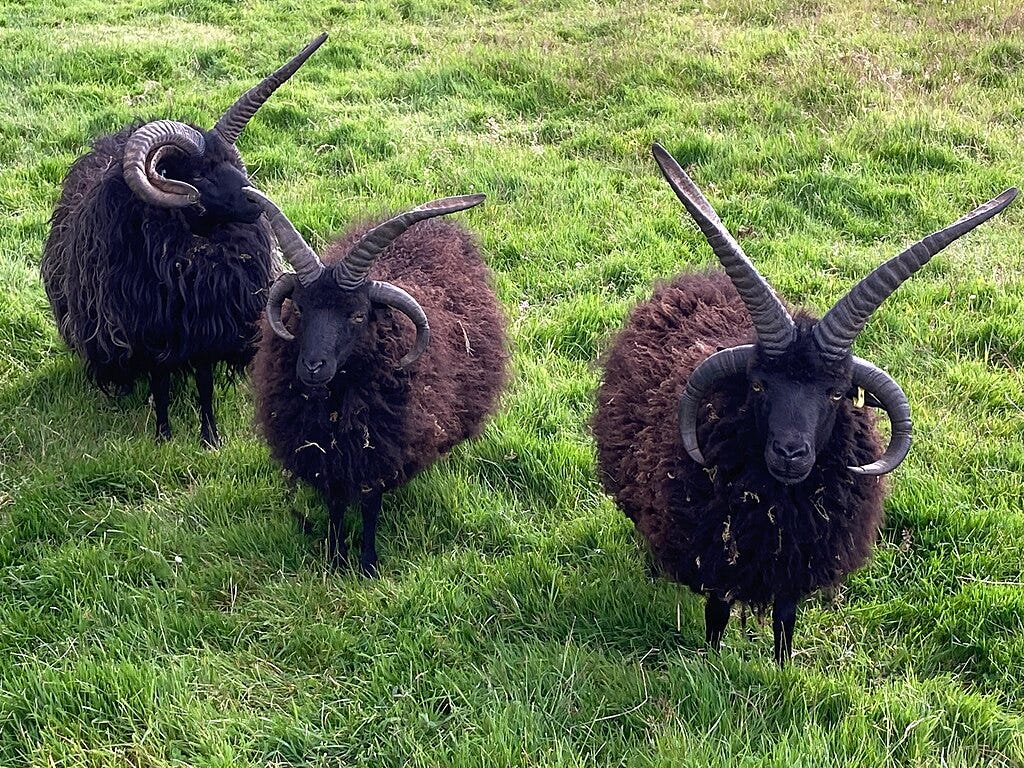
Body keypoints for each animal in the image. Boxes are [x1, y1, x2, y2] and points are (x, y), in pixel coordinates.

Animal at [40, 34, 327, 445]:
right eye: (200, 176)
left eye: (232, 162)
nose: (256, 202)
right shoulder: (152, 338)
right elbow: (160, 387)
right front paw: (163, 436)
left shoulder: (208, 332)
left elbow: (204, 384)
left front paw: (210, 438)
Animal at [244, 187, 508, 575]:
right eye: (302, 308)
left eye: (357, 315)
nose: (312, 367)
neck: (338, 398)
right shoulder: (326, 455)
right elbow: (336, 504)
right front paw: (336, 558)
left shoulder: (377, 451)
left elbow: (370, 506)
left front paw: (368, 564)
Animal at [592, 143, 1017, 664]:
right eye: (758, 386)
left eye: (835, 392)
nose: (790, 453)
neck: (781, 499)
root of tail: (697, 279)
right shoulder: (719, 553)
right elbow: (716, 616)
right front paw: (710, 663)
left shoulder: (795, 563)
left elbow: (785, 620)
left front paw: (781, 667)